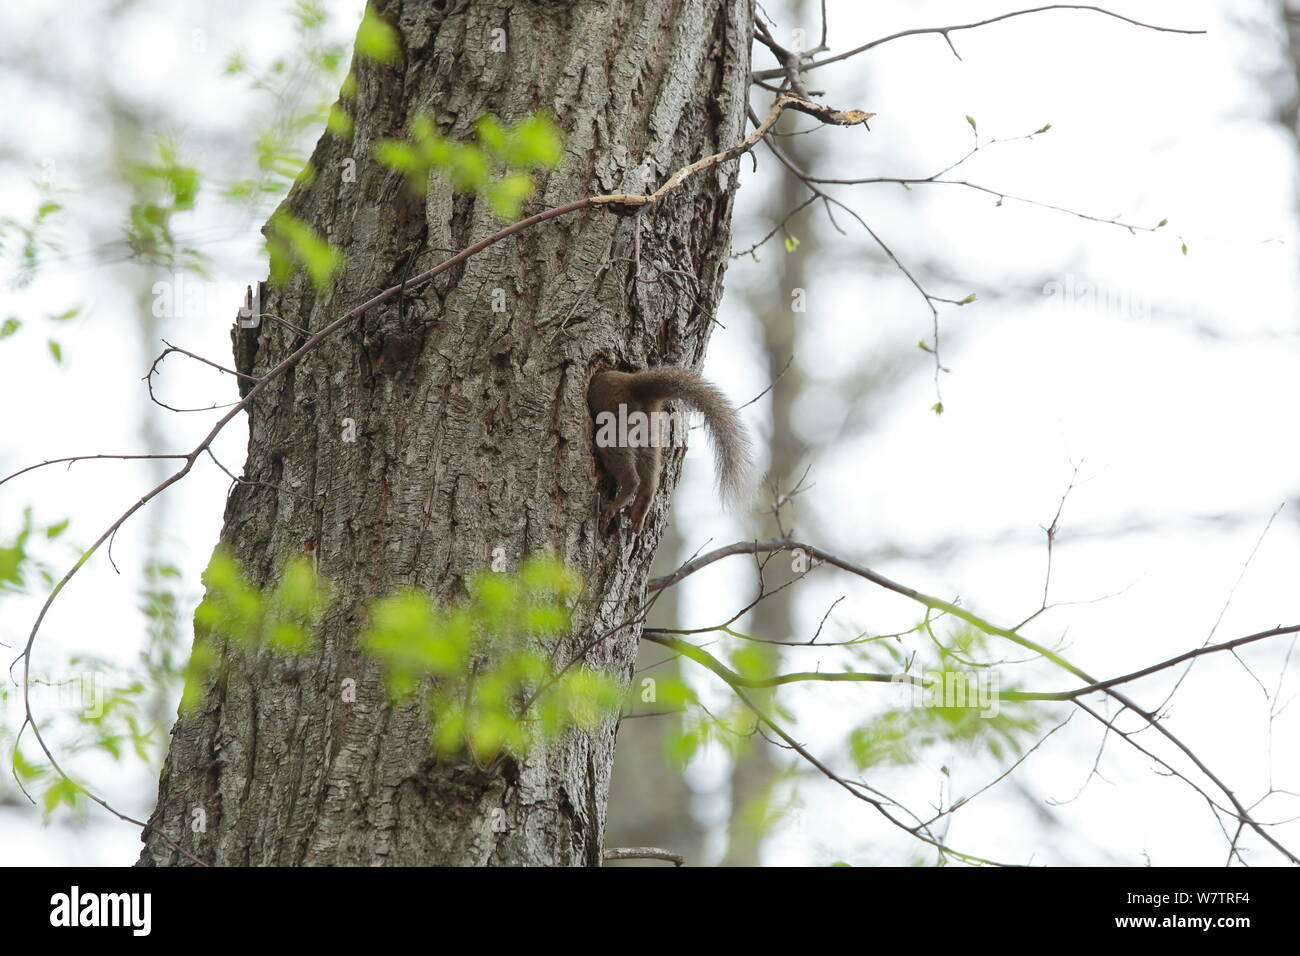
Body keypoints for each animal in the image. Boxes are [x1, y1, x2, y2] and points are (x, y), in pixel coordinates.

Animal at [587, 367, 753, 532]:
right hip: (649, 433)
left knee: (630, 476)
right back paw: (639, 510)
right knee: (649, 481)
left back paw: (614, 504)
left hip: (613, 424)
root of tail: (633, 385)